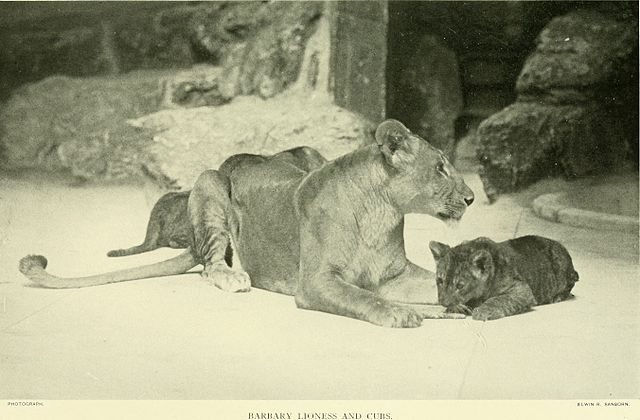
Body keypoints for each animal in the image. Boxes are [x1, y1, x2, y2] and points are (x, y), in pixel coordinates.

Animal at [19, 119, 476, 327]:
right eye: (440, 168)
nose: (472, 198)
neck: (383, 212)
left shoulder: (396, 274)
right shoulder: (316, 282)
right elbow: (365, 297)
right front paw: (402, 312)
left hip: (306, 154)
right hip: (209, 182)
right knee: (209, 264)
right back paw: (235, 277)